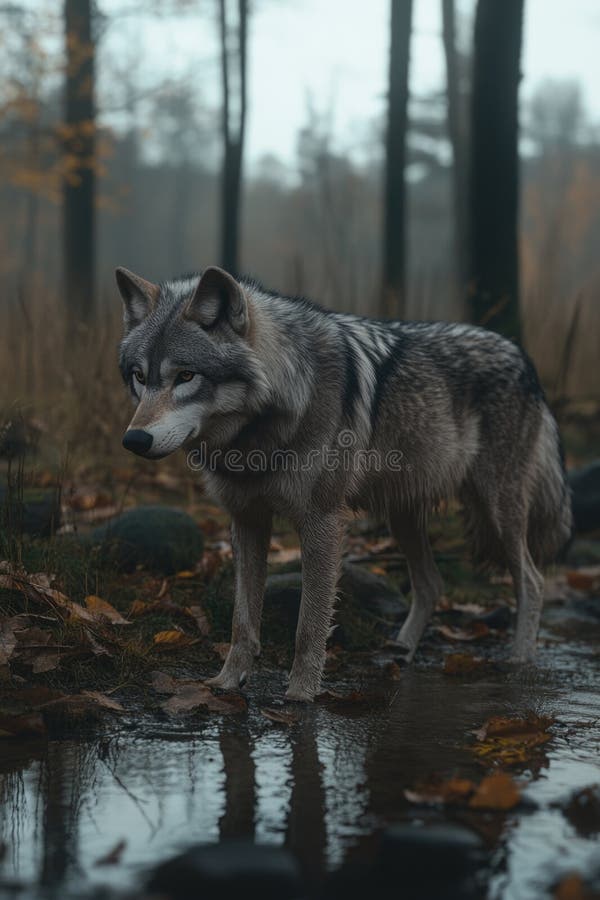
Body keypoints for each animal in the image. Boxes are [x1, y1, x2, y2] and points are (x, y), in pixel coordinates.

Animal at [116, 264, 572, 701]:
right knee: (431, 584)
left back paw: (519, 660)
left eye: (186, 376)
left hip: (497, 512)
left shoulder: (322, 521)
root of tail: (522, 356)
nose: (134, 440)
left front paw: (301, 695)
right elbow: (242, 622)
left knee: (531, 580)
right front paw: (226, 683)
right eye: (139, 376)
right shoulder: (246, 520)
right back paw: (400, 651)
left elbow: (309, 625)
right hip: (403, 517)